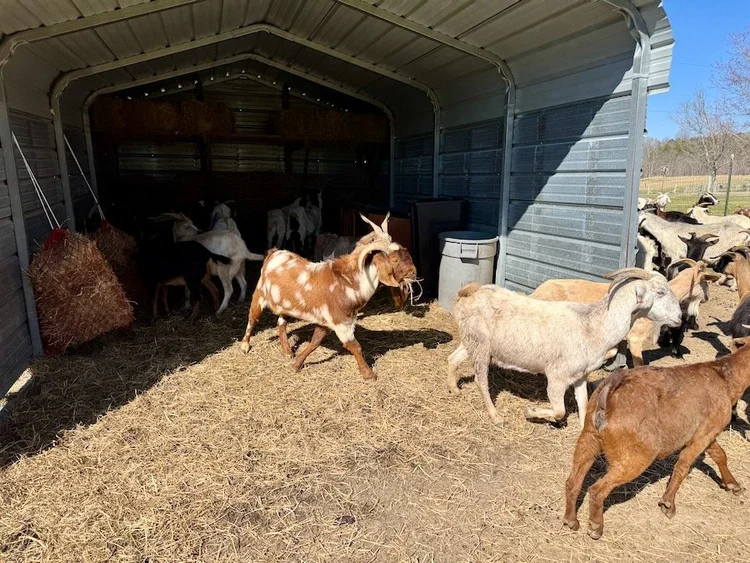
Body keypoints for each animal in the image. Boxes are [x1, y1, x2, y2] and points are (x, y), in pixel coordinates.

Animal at [239, 213, 418, 380]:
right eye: (394, 260)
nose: (414, 273)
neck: (351, 281)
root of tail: (274, 252)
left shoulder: (326, 321)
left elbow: (315, 342)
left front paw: (296, 364)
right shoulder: (341, 323)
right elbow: (355, 346)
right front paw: (369, 374)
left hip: (284, 304)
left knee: (281, 323)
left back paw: (288, 351)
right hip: (259, 295)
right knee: (252, 318)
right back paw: (245, 345)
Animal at [448, 269, 682, 427]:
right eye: (660, 292)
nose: (680, 317)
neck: (592, 326)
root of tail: (468, 295)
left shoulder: (580, 376)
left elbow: (584, 404)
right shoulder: (557, 377)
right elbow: (560, 411)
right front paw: (530, 411)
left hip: (471, 340)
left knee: (452, 358)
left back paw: (453, 388)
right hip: (481, 345)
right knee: (480, 380)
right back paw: (495, 416)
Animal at [563, 336, 750, 539]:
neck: (725, 377)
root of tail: (610, 390)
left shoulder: (705, 433)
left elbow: (720, 455)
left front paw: (733, 485)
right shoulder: (703, 436)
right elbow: (683, 466)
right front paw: (668, 504)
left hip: (588, 438)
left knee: (573, 481)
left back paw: (571, 520)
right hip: (636, 456)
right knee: (597, 489)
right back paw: (596, 527)